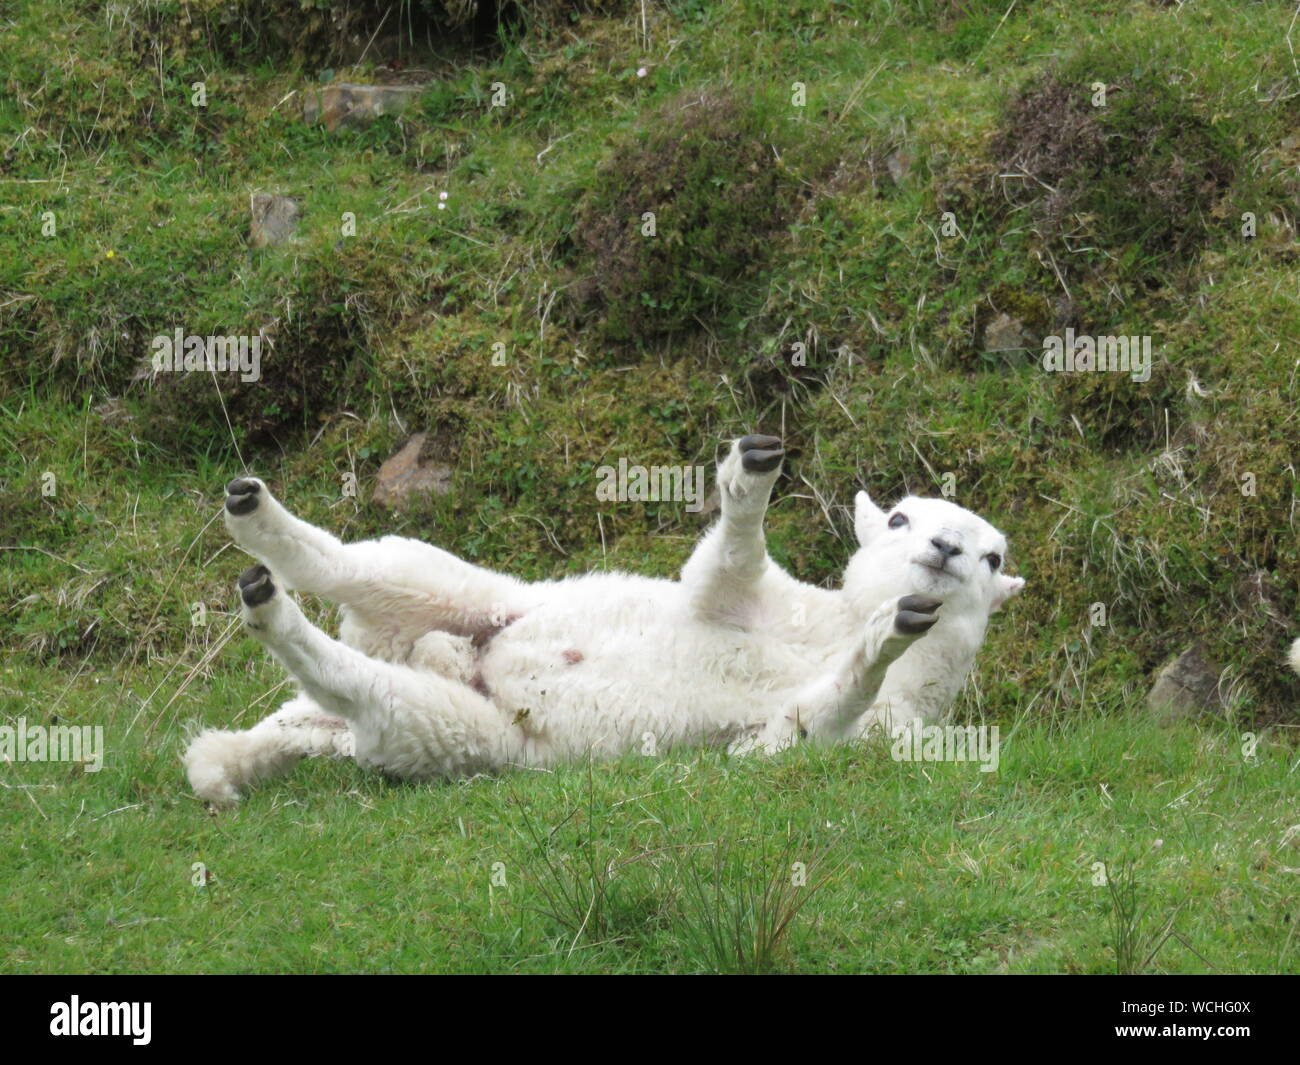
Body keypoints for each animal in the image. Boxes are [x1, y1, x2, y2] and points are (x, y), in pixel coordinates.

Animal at [184, 434, 1024, 805]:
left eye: (994, 555)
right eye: (900, 517)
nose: (947, 549)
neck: (834, 623)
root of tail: (441, 655)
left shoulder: (877, 728)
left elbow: (807, 725)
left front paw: (894, 630)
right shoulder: (771, 602)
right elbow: (727, 566)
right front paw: (750, 473)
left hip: (467, 732)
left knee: (359, 695)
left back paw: (247, 692)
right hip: (475, 591)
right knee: (361, 565)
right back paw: (256, 521)